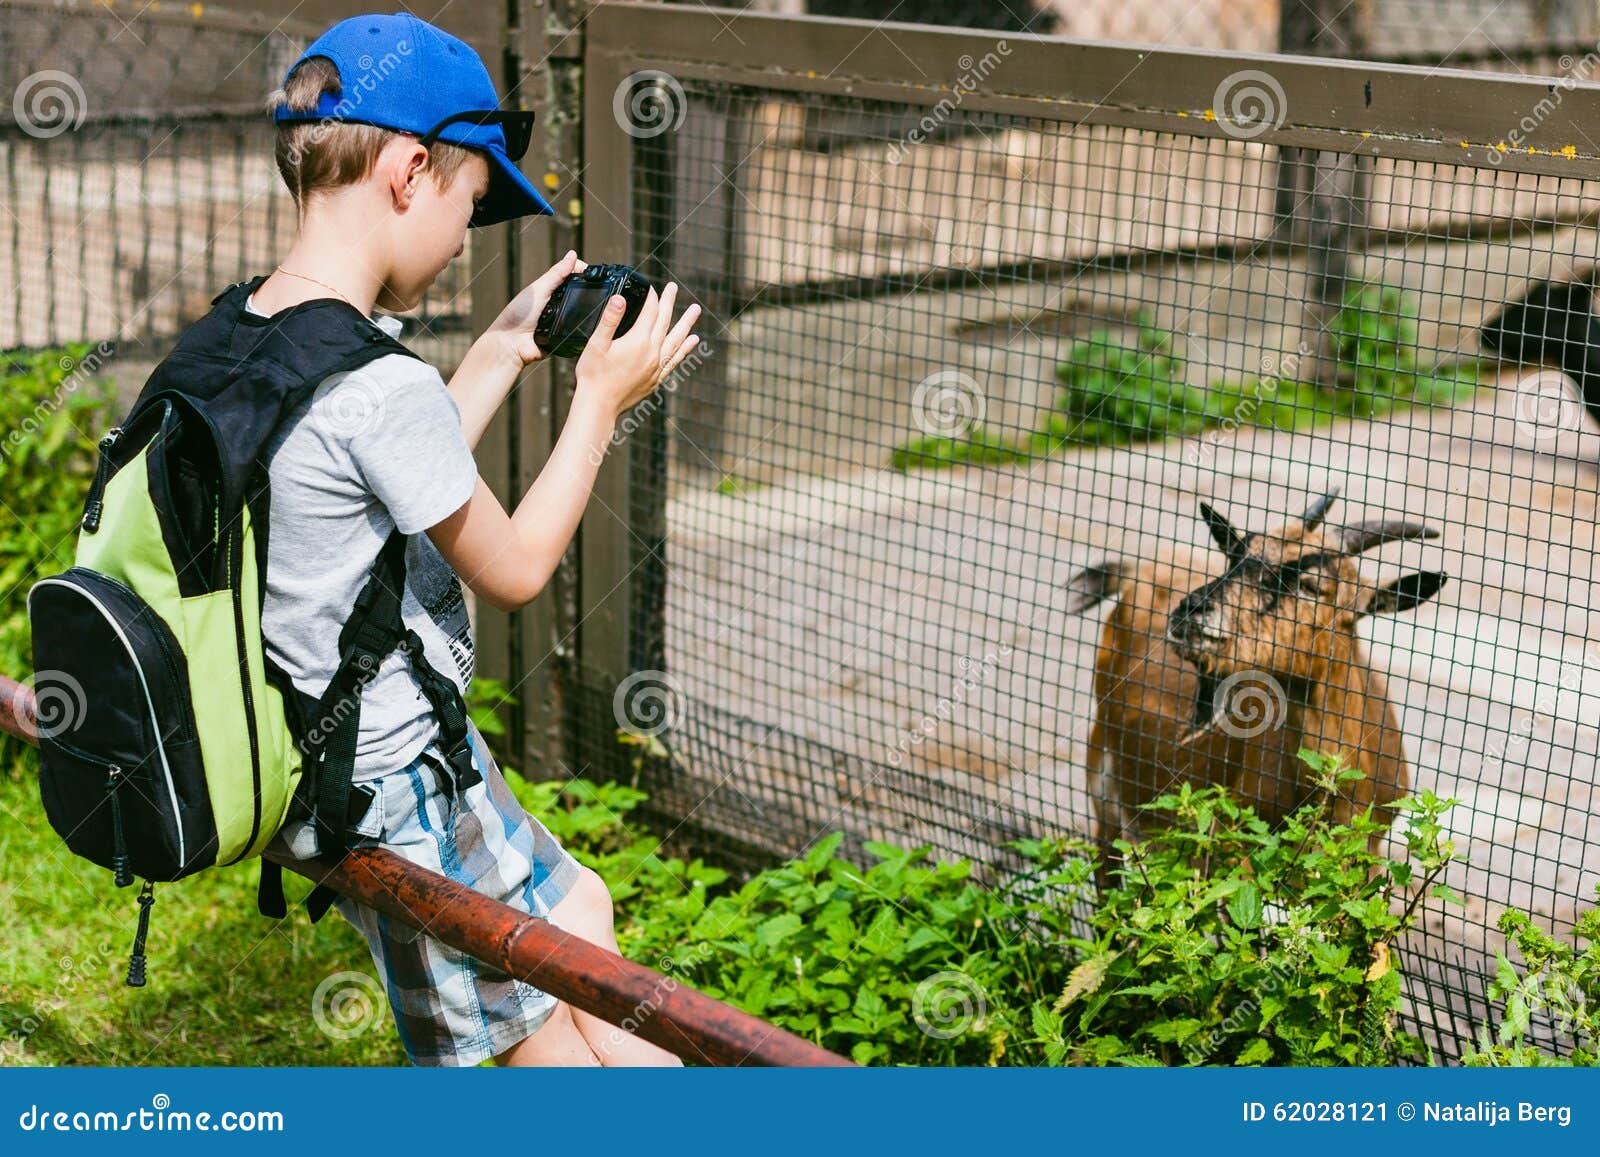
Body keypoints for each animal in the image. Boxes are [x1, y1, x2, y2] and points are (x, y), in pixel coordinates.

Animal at [1066, 490, 1447, 883]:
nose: (1191, 610)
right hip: (1103, 783)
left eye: (1313, 585)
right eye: (1234, 557)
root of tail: (1139, 570)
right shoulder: (1232, 851)